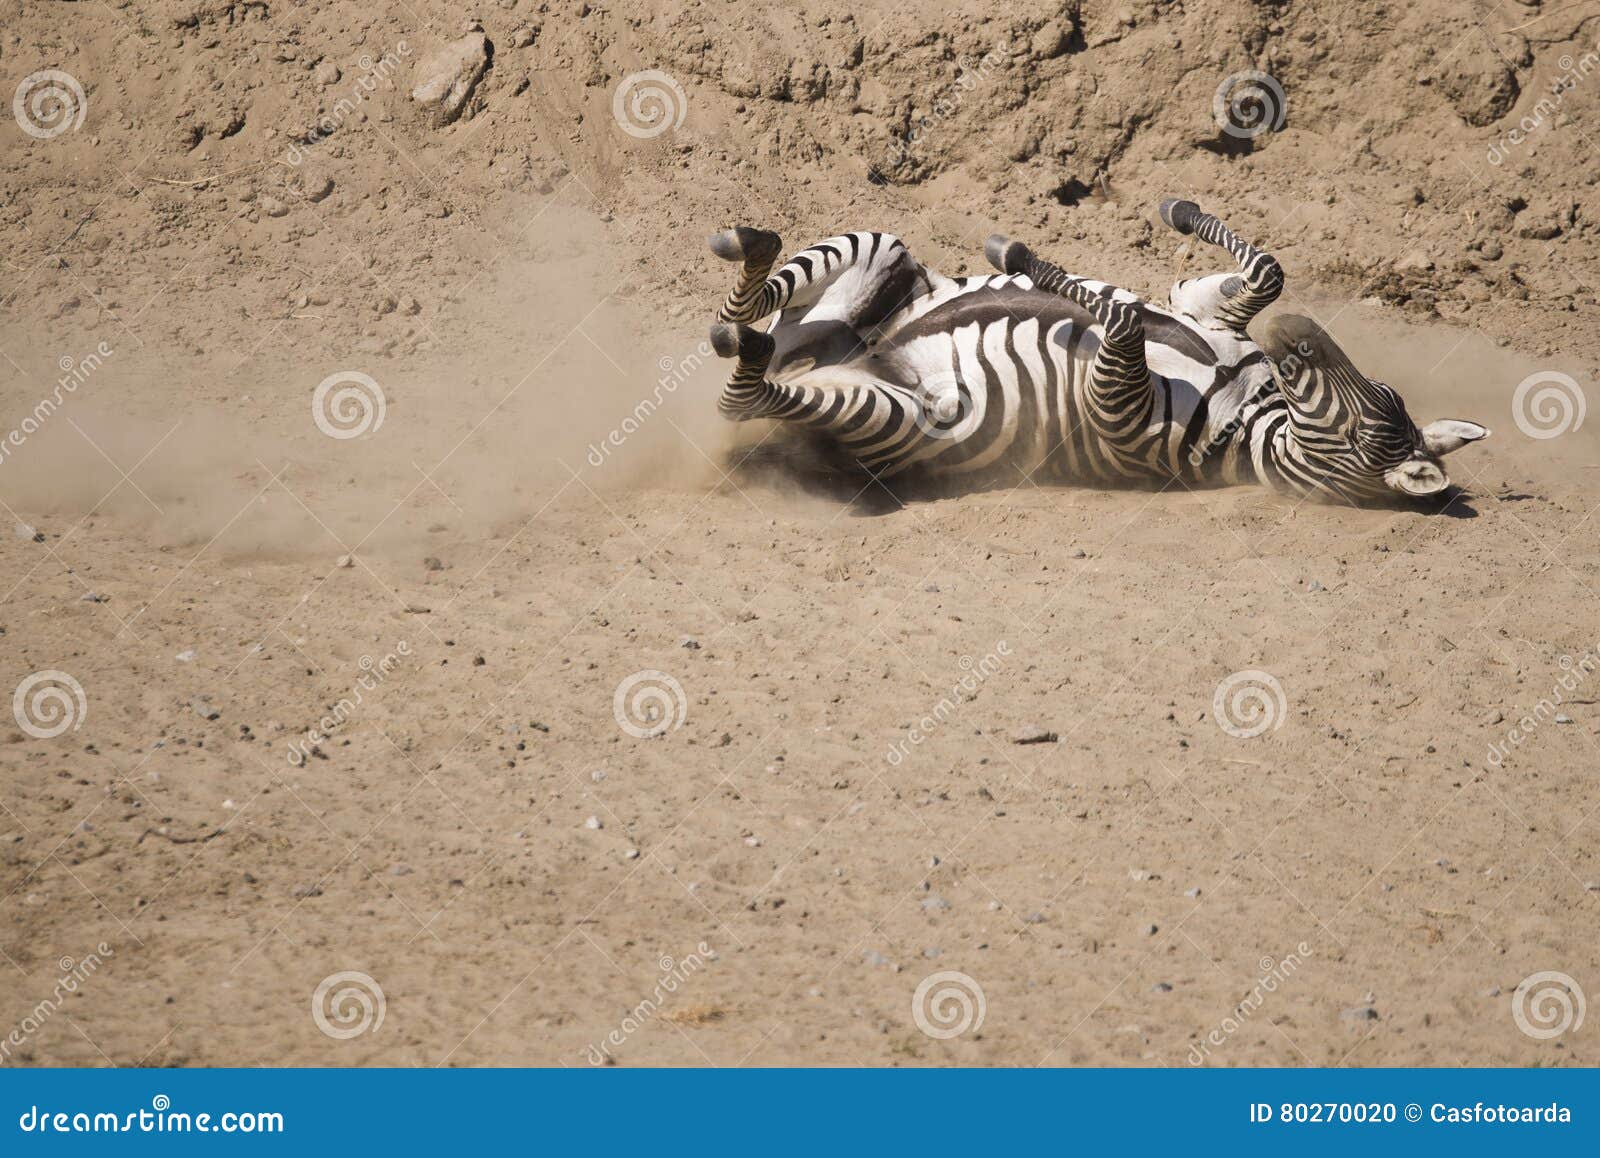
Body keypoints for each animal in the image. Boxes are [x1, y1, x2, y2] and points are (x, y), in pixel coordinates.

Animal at [706, 199, 1489, 504]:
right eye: (1385, 394)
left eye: (1364, 435)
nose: (1292, 334)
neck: (1250, 411)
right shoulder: (1200, 304)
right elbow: (1266, 270)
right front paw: (1179, 212)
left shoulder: (1116, 408)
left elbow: (1125, 322)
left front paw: (1020, 254)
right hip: (878, 253)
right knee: (753, 315)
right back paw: (749, 253)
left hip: (892, 413)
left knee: (742, 389)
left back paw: (746, 342)